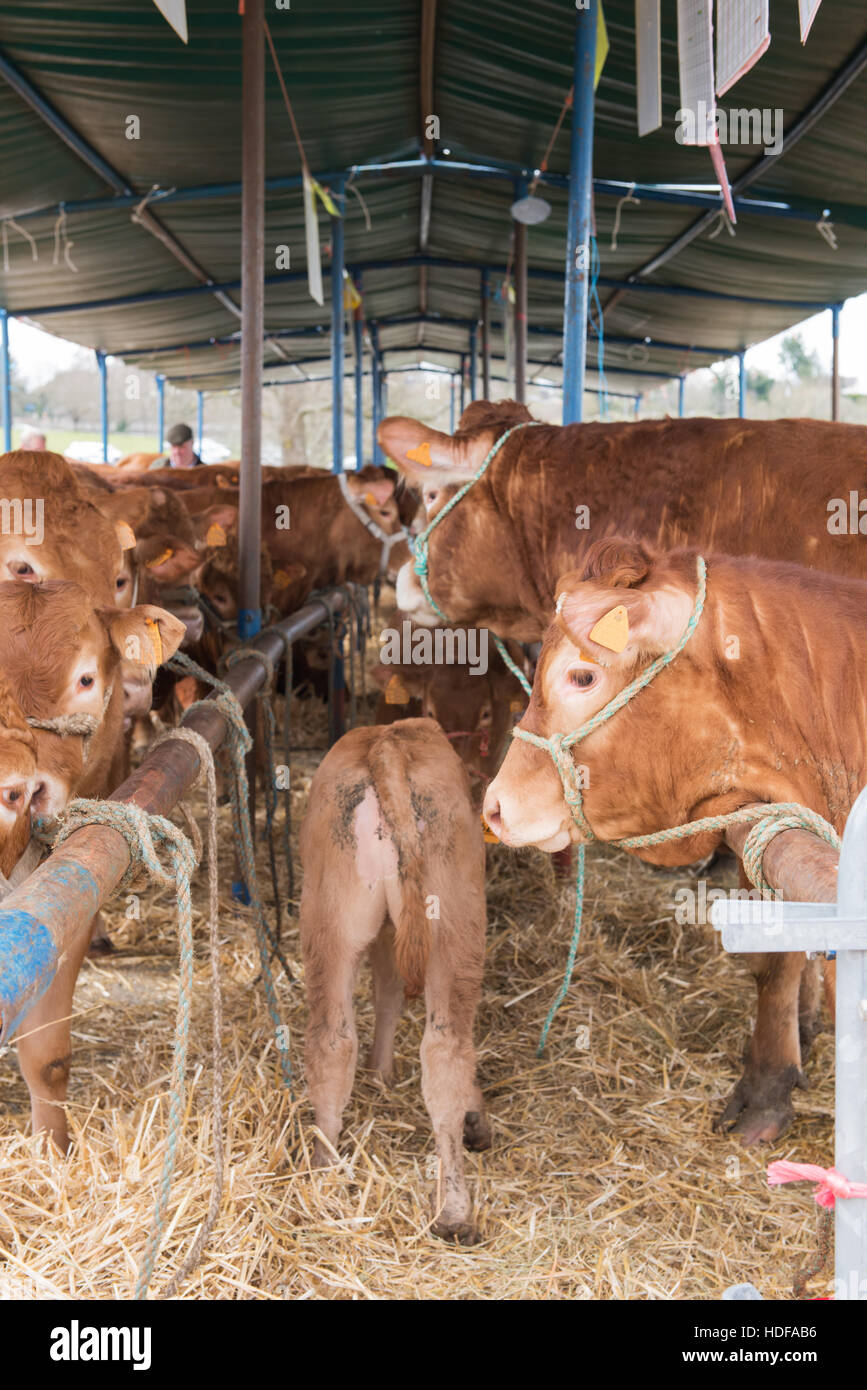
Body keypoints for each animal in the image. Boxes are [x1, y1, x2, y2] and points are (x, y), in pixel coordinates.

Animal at [300, 719, 489, 1242]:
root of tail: (387, 742)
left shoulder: (388, 928)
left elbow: (386, 991)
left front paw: (379, 1074)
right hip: (455, 931)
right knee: (446, 1051)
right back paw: (455, 1211)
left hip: (331, 923)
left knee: (332, 1040)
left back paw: (323, 1174)